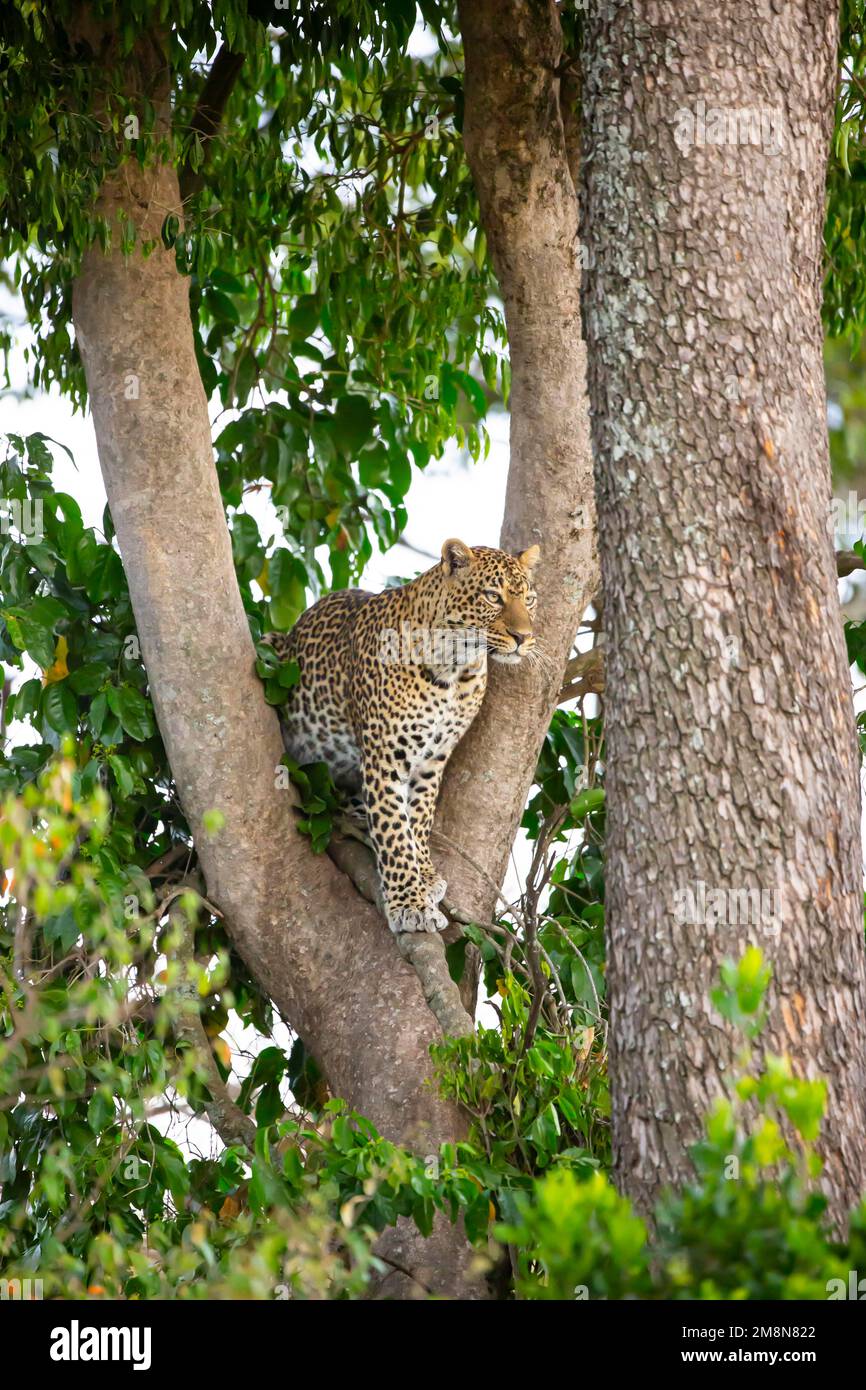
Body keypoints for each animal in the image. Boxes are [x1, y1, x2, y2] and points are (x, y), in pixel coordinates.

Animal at [262, 538, 540, 934]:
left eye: (529, 600)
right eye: (492, 596)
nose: (524, 637)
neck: (454, 667)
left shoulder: (432, 759)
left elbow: (418, 818)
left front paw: (424, 875)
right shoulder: (384, 757)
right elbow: (394, 829)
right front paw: (410, 904)